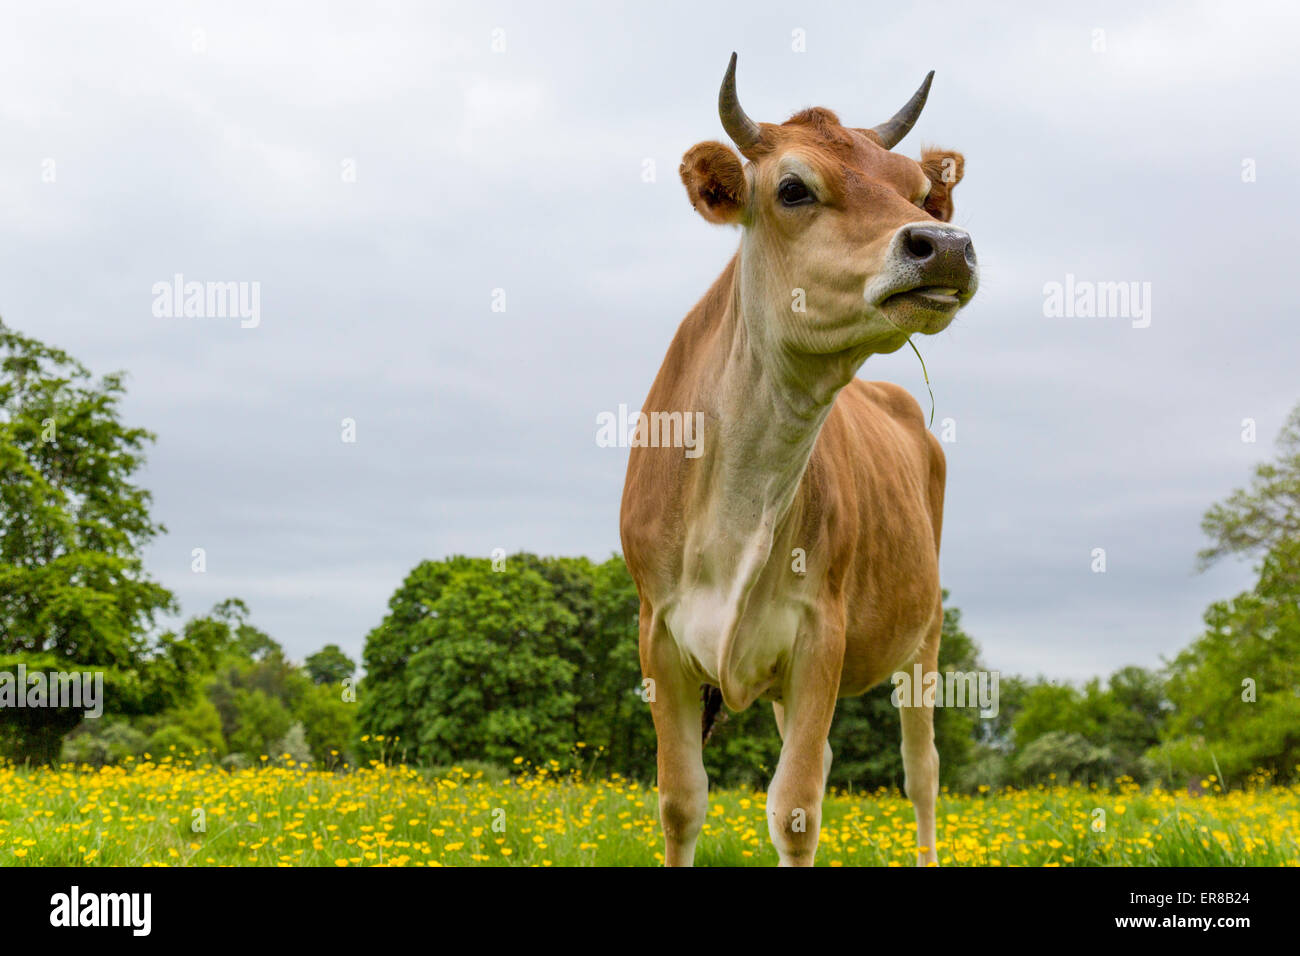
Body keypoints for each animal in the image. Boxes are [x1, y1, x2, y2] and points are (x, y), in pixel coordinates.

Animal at [619, 54, 978, 867]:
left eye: (918, 190)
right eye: (792, 188)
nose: (945, 243)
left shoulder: (822, 633)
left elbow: (795, 811)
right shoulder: (659, 635)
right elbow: (680, 803)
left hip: (926, 637)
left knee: (922, 773)